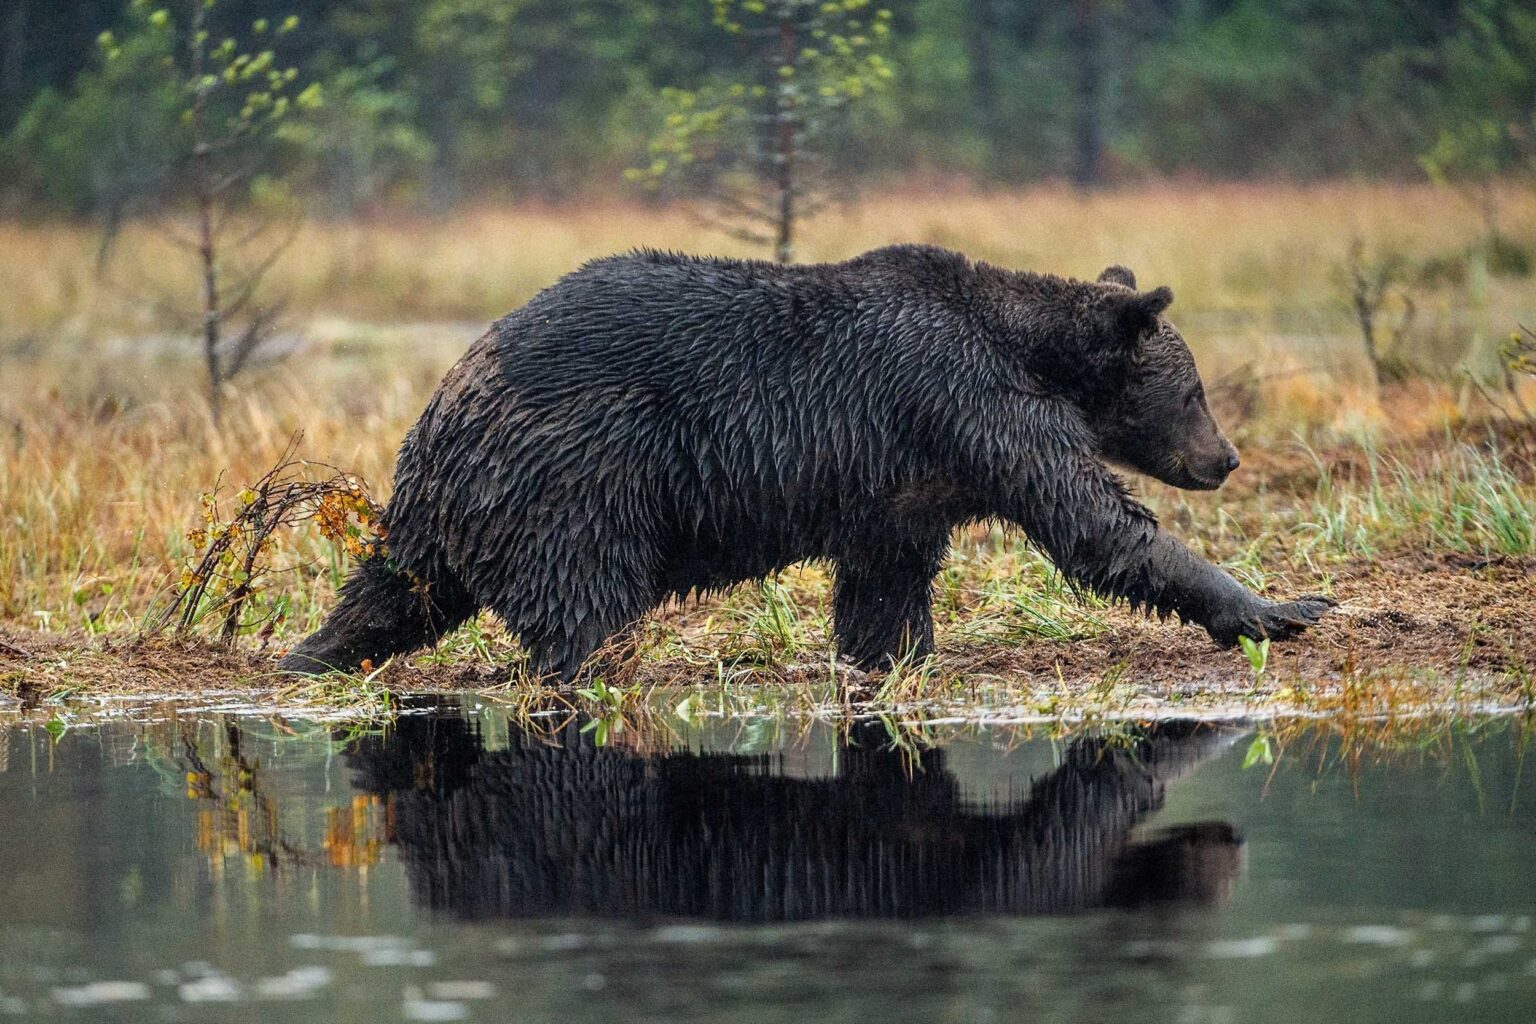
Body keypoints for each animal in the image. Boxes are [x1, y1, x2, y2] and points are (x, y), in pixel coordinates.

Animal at [280, 245, 1333, 681]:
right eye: (1193, 390)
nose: (1226, 458)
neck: (1027, 351)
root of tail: (449, 402)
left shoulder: (905, 477)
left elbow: (885, 583)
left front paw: (893, 655)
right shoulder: (966, 402)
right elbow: (1095, 523)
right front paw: (1279, 605)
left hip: (443, 506)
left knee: (390, 591)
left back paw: (308, 655)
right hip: (579, 472)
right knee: (582, 600)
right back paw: (577, 667)